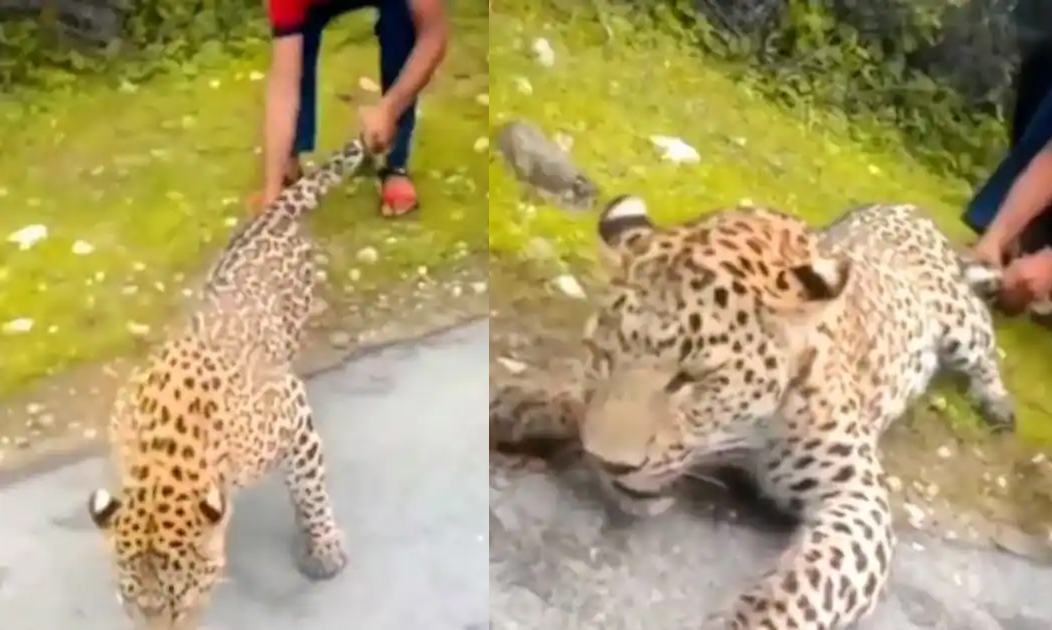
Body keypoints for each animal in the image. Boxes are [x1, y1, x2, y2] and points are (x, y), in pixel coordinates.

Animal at [85, 138, 368, 630]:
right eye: (130, 602)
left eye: (179, 602)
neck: (166, 456)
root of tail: (271, 214)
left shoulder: (291, 413)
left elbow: (310, 487)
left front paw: (323, 544)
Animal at [490, 196, 1015, 630]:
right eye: (604, 356)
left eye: (691, 379)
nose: (608, 464)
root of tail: (904, 207)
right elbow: (572, 398)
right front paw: (518, 406)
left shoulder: (857, 497)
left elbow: (808, 583)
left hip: (960, 319)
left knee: (986, 348)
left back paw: (998, 404)